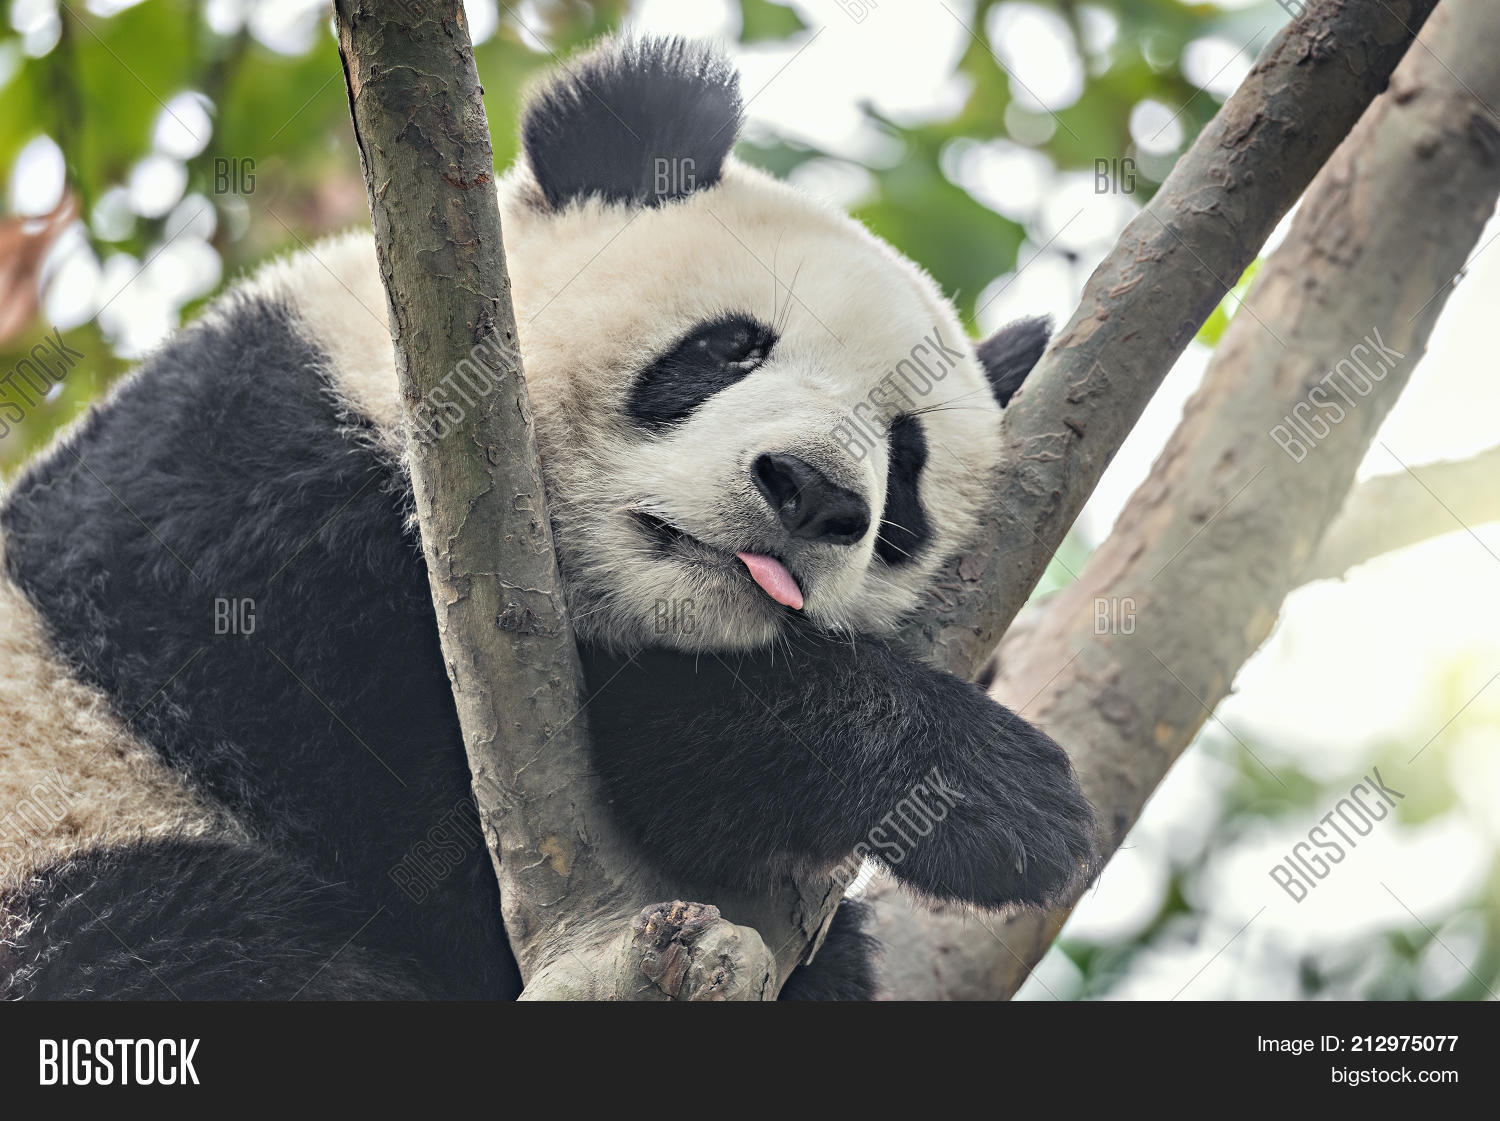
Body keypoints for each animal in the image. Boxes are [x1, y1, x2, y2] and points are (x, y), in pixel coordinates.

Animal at [0, 36, 1095, 1000]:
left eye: (905, 465)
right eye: (728, 349)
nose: (814, 490)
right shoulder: (244, 488)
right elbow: (390, 767)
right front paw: (987, 787)